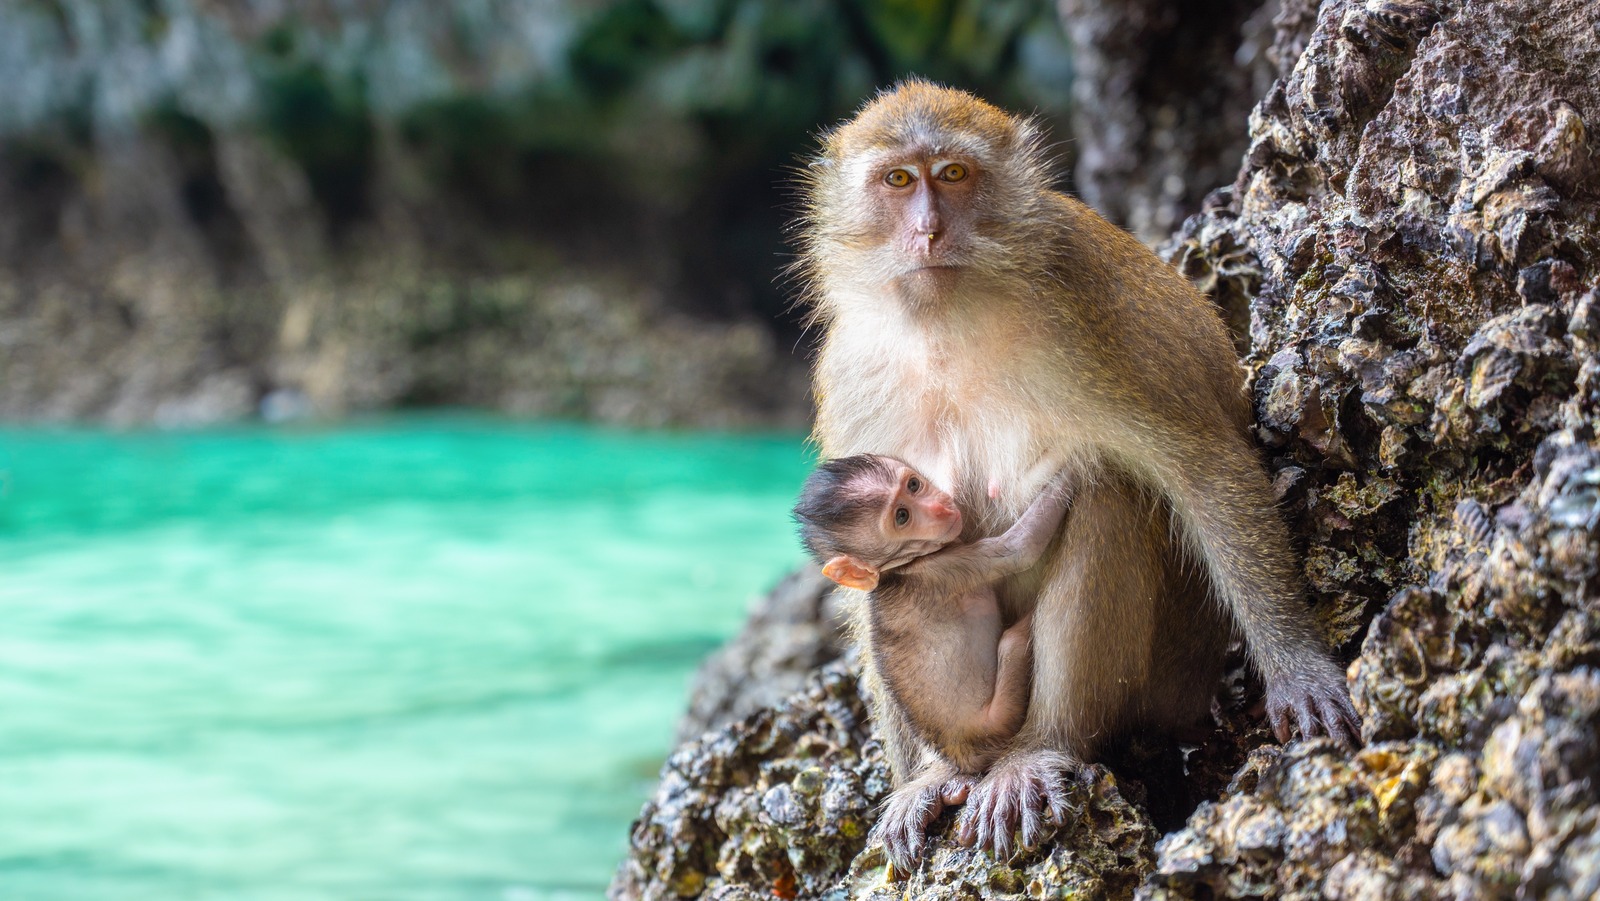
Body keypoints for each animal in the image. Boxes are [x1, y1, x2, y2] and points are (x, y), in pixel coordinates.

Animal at [793, 454, 1073, 778]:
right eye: (902, 516)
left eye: (913, 485)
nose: (938, 507)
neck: (899, 568)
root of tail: (963, 756)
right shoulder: (949, 567)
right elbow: (1019, 549)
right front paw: (1075, 470)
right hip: (998, 720)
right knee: (1013, 644)